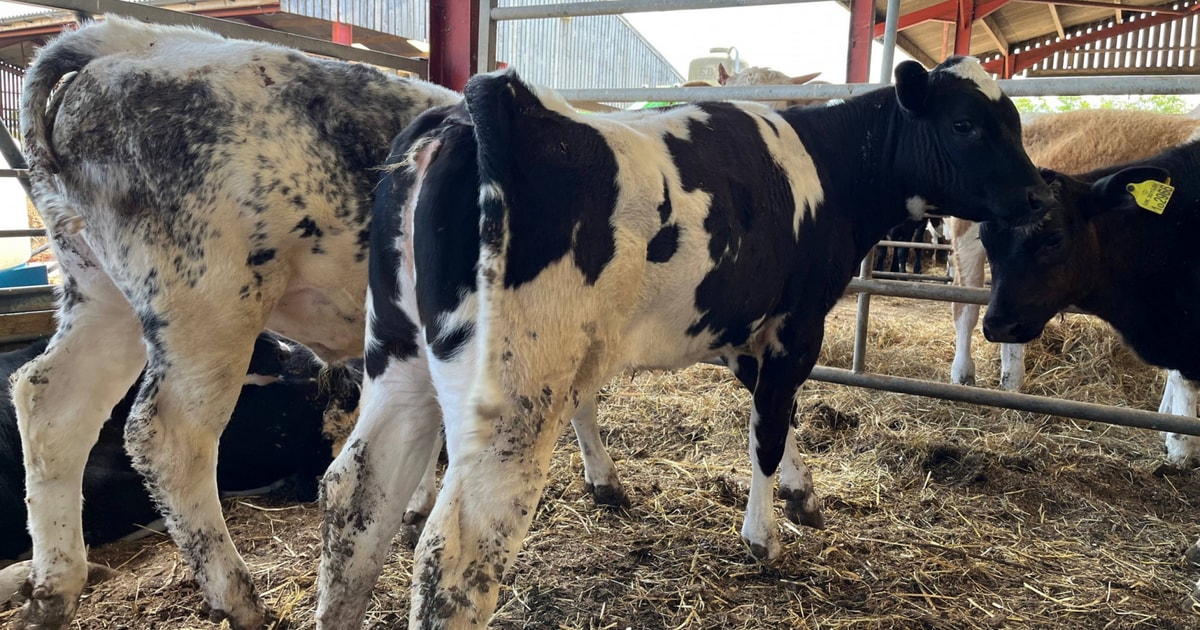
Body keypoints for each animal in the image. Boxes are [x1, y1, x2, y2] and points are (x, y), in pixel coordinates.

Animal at [314, 56, 1051, 628]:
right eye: (965, 124)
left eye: (1015, 122)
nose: (1041, 196)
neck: (829, 170)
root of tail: (477, 114)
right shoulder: (796, 325)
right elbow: (769, 427)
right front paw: (763, 535)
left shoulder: (743, 329)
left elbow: (776, 412)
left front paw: (802, 493)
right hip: (516, 396)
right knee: (459, 548)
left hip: (401, 357)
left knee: (355, 496)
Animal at [949, 108, 1200, 391]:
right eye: (986, 239)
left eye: (1055, 238)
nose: (999, 326)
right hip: (965, 243)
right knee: (965, 309)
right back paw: (962, 374)